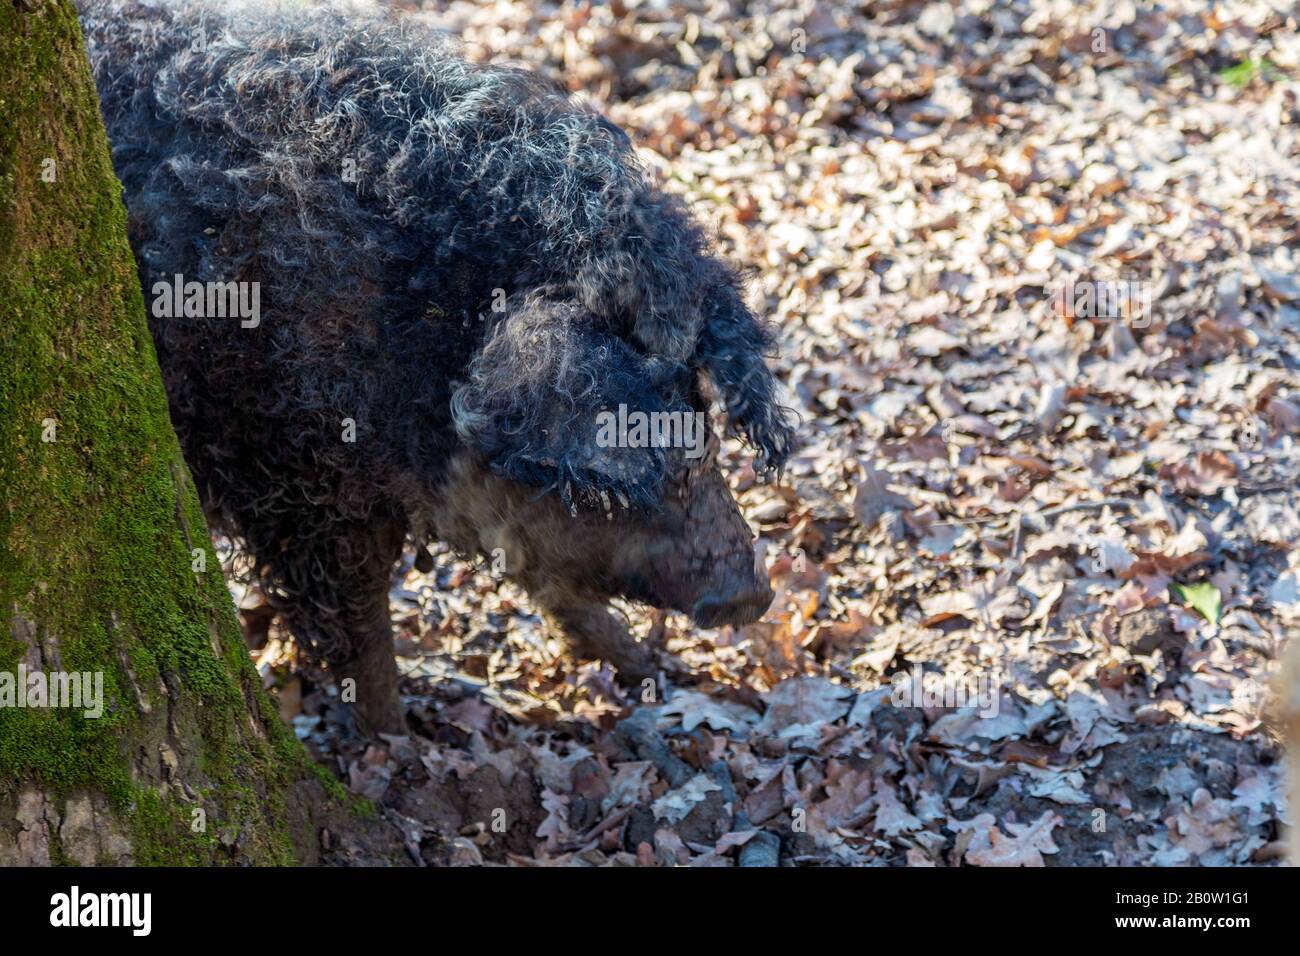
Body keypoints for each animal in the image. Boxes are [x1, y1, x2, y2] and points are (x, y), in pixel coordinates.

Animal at [78, 0, 794, 734]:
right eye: (630, 458)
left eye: (697, 404)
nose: (752, 593)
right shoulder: (296, 486)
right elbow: (360, 619)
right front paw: (394, 741)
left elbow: (549, 578)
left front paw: (651, 669)